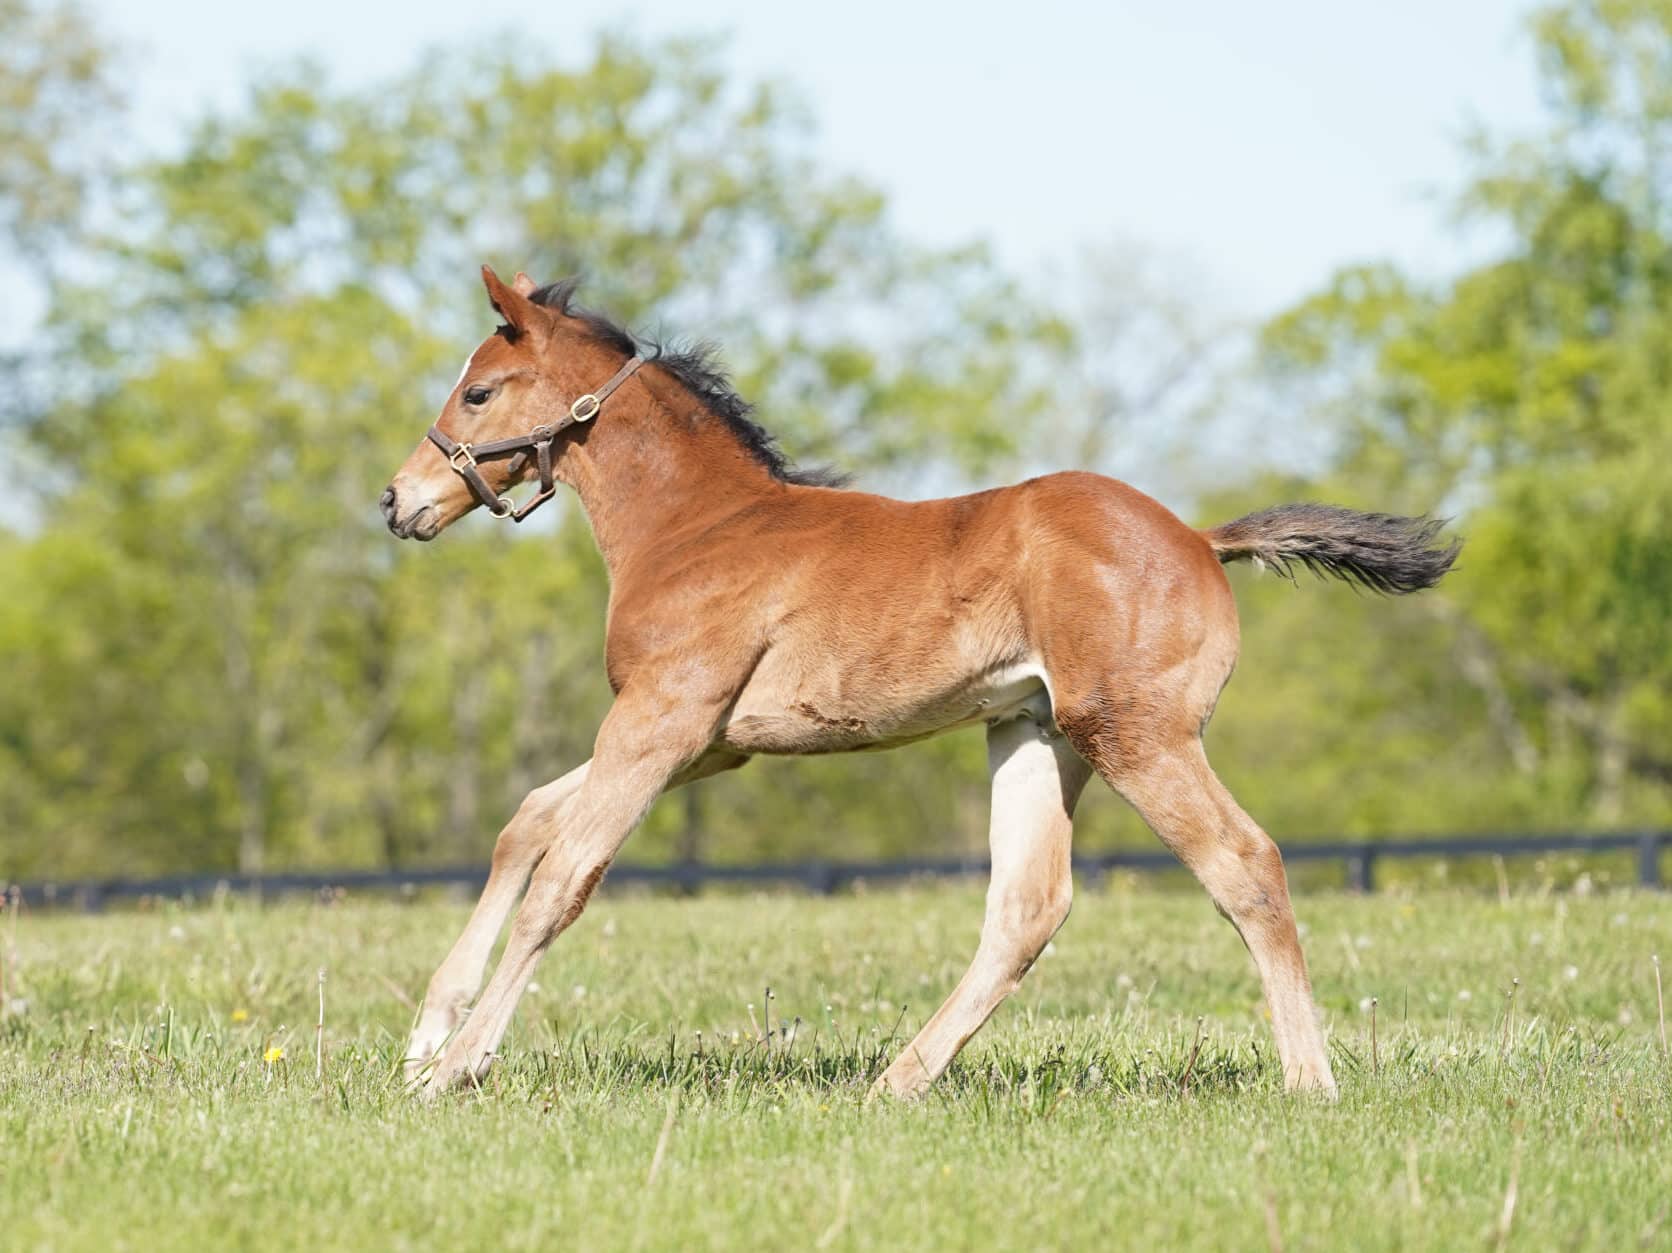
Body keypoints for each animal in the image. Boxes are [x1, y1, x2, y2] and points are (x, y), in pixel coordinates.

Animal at [381, 265, 1459, 1098]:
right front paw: (425, 1037)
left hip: (1137, 734)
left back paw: (1310, 1080)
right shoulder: (710, 743)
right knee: (1028, 906)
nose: (397, 500)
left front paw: (456, 1067)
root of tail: (1200, 538)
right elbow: (528, 820)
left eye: (479, 394)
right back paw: (896, 1080)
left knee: (1245, 863)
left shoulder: (663, 720)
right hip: (1034, 733)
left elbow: (566, 876)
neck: (697, 526)